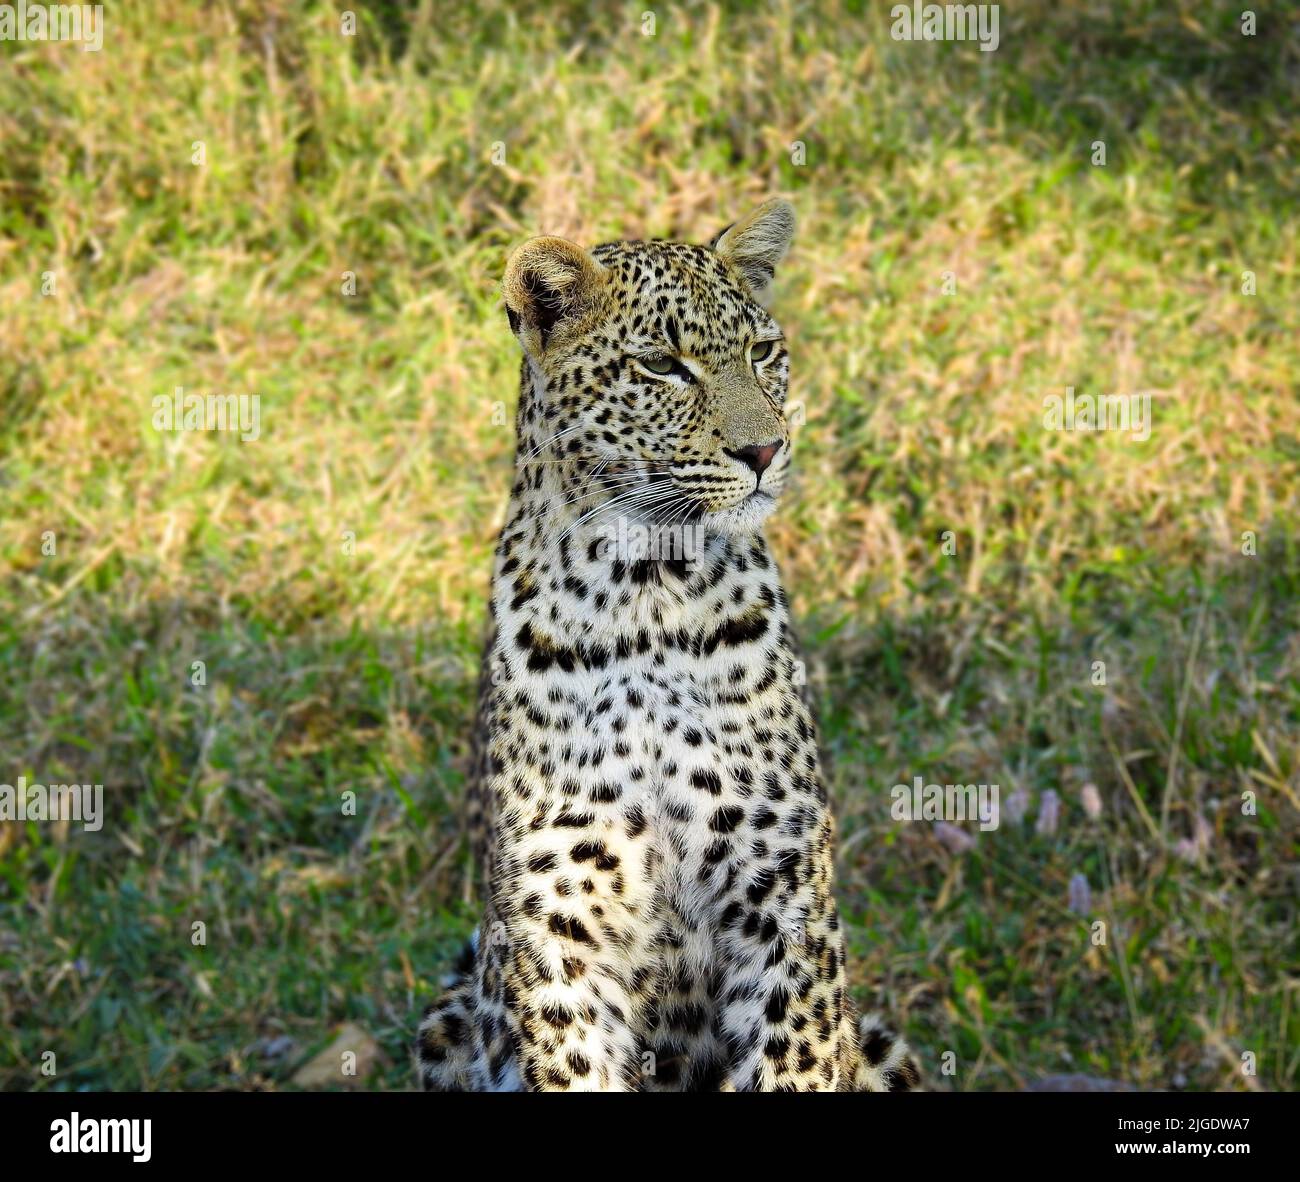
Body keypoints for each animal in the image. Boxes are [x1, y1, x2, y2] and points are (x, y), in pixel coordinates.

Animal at [415, 199, 921, 1092]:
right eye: (661, 365)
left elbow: (794, 1060)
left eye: (762, 352)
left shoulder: (783, 886)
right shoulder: (555, 911)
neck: (645, 592)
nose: (764, 451)